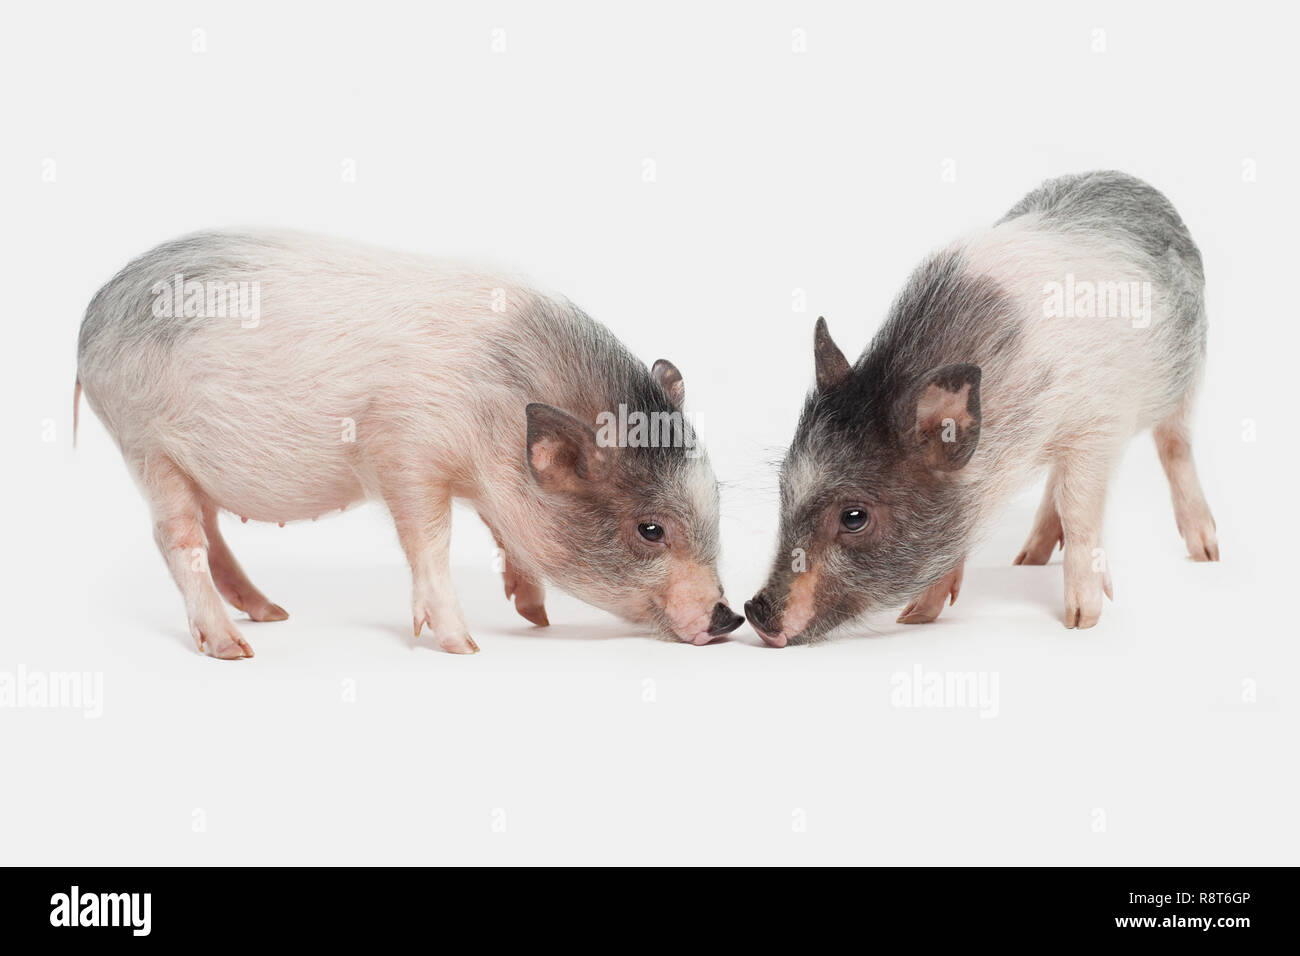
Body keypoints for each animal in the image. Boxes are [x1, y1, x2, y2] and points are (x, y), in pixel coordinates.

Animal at [75, 230, 744, 657]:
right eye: (650, 530)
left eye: (716, 500)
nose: (730, 616)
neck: (496, 409)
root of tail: (93, 315)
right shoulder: (403, 453)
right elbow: (430, 541)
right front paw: (465, 647)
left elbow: (503, 532)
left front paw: (535, 616)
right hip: (145, 443)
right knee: (176, 537)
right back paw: (235, 649)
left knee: (211, 533)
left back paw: (273, 615)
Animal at [746, 171, 1218, 646]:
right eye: (785, 490)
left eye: (854, 517)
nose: (754, 613)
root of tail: (1128, 178)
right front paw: (916, 617)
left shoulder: (1099, 426)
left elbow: (1079, 508)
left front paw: (1081, 620)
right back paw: (1026, 560)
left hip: (1191, 369)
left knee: (1175, 445)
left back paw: (1207, 553)